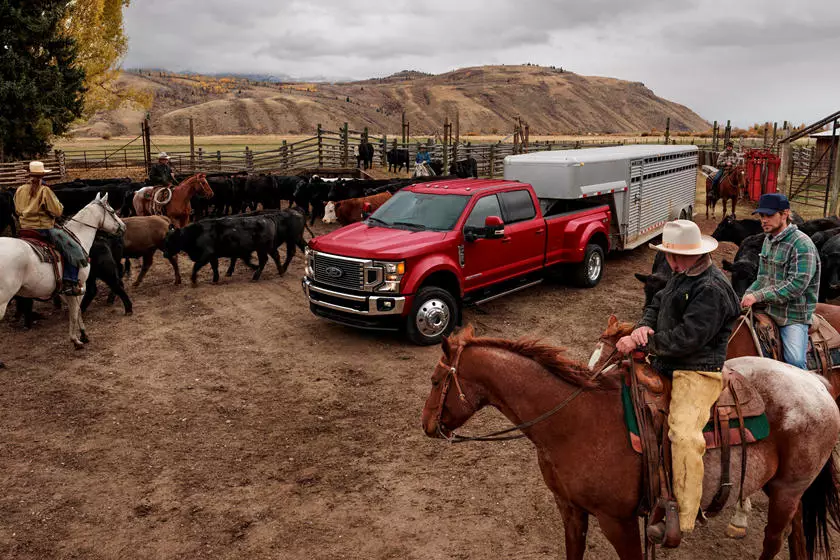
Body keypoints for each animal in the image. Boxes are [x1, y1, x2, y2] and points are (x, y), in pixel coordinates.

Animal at [0, 192, 126, 366]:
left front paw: (80, 336)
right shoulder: (80, 285)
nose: (123, 226)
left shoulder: (66, 290)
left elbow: (75, 310)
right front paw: (78, 339)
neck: (79, 237)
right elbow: (75, 311)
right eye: (112, 211)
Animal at [424, 324, 840, 560]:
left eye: (434, 380)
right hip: (786, 491)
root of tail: (816, 382)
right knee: (796, 535)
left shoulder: (617, 521)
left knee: (773, 541)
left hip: (787, 489)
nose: (427, 424)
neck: (573, 422)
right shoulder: (570, 509)